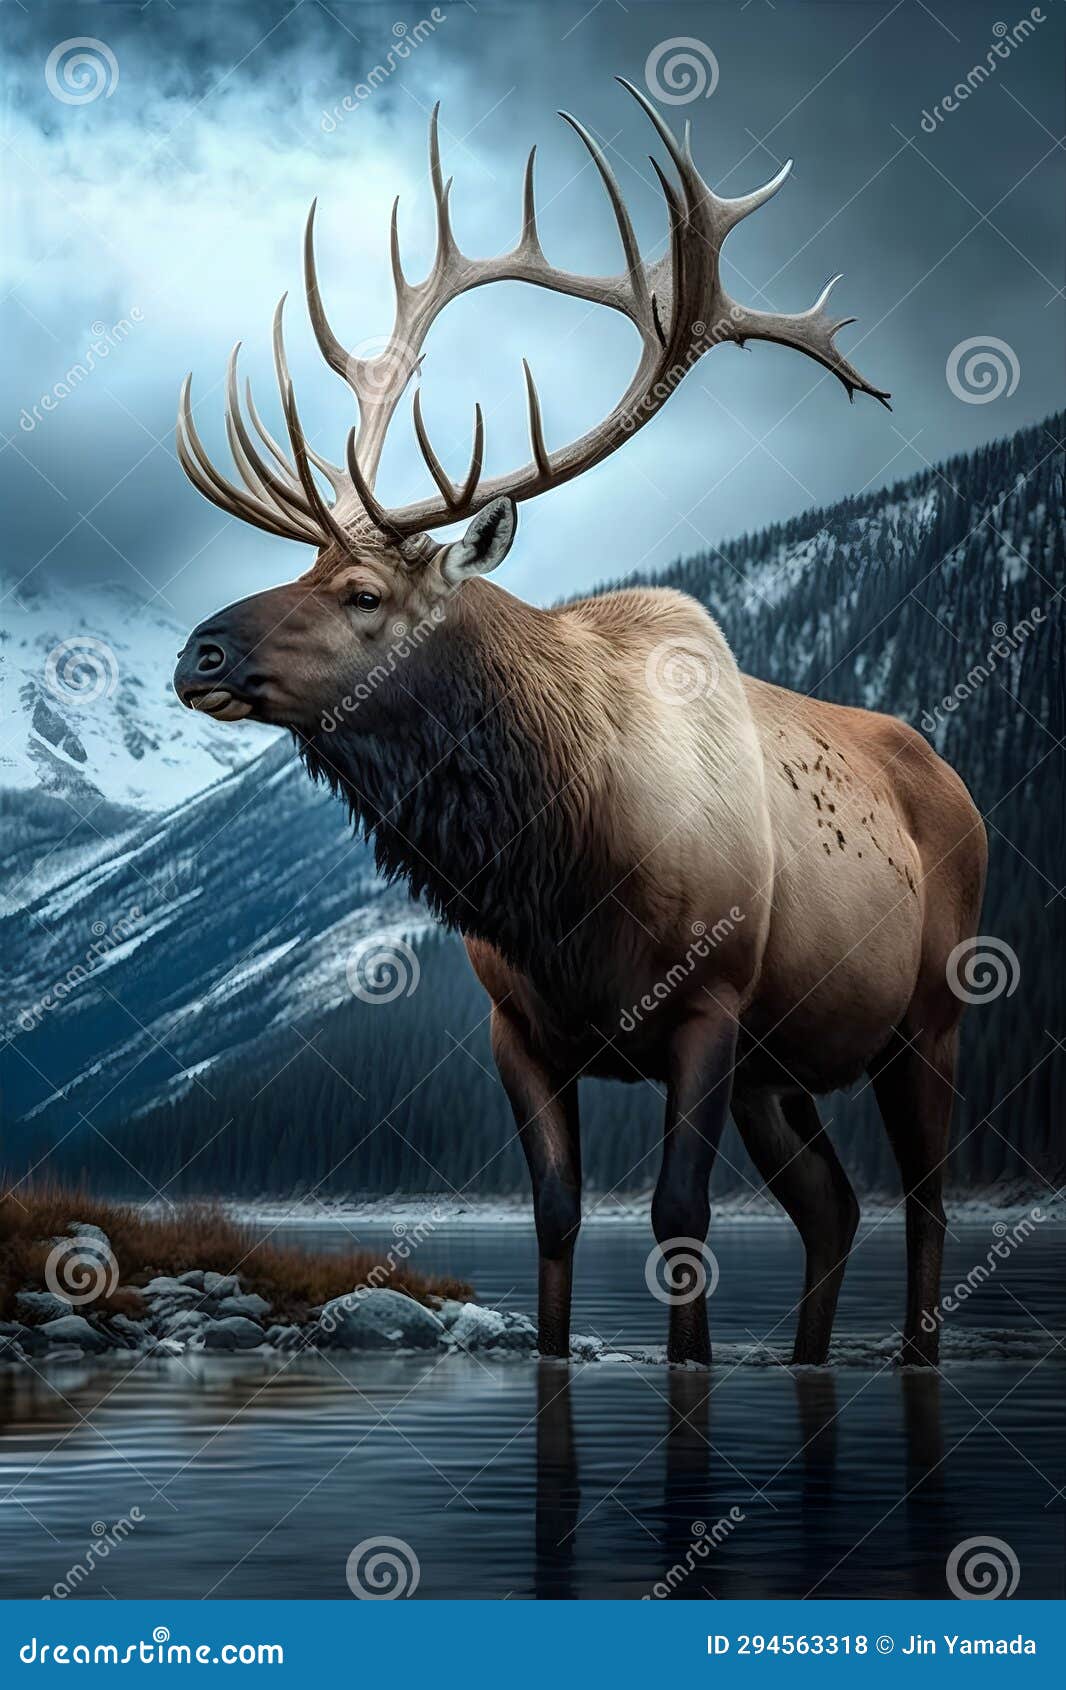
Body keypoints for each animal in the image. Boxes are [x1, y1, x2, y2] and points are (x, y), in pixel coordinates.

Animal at [172, 82, 986, 1367]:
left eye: (361, 593)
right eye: (298, 566)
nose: (197, 652)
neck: (565, 867)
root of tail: (959, 786)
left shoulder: (708, 1005)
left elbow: (677, 1215)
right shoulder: (520, 1026)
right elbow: (555, 1216)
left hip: (927, 1020)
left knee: (923, 1199)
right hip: (785, 1067)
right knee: (832, 1207)